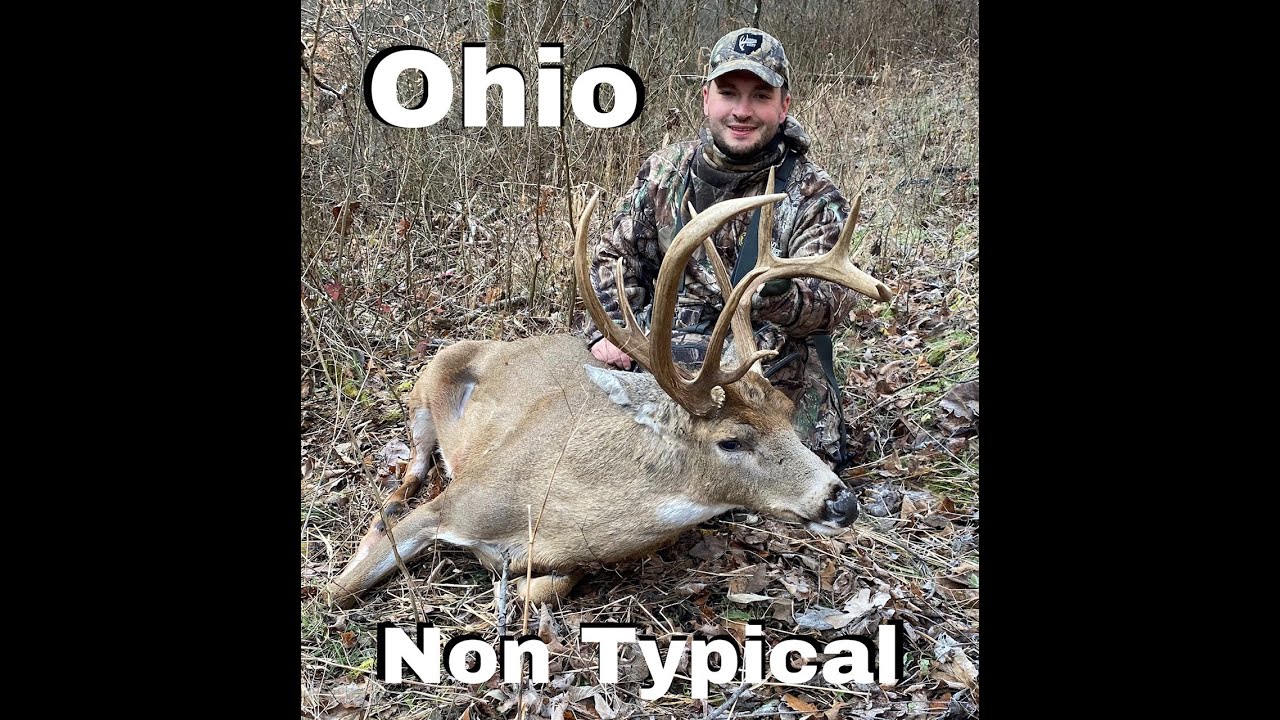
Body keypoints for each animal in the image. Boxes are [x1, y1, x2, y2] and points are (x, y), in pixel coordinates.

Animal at [322, 184, 893, 609]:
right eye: (731, 440)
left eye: (789, 414)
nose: (841, 500)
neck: (557, 512)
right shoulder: (460, 500)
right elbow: (337, 592)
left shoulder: (565, 562)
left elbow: (539, 589)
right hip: (424, 386)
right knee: (415, 464)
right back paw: (389, 505)